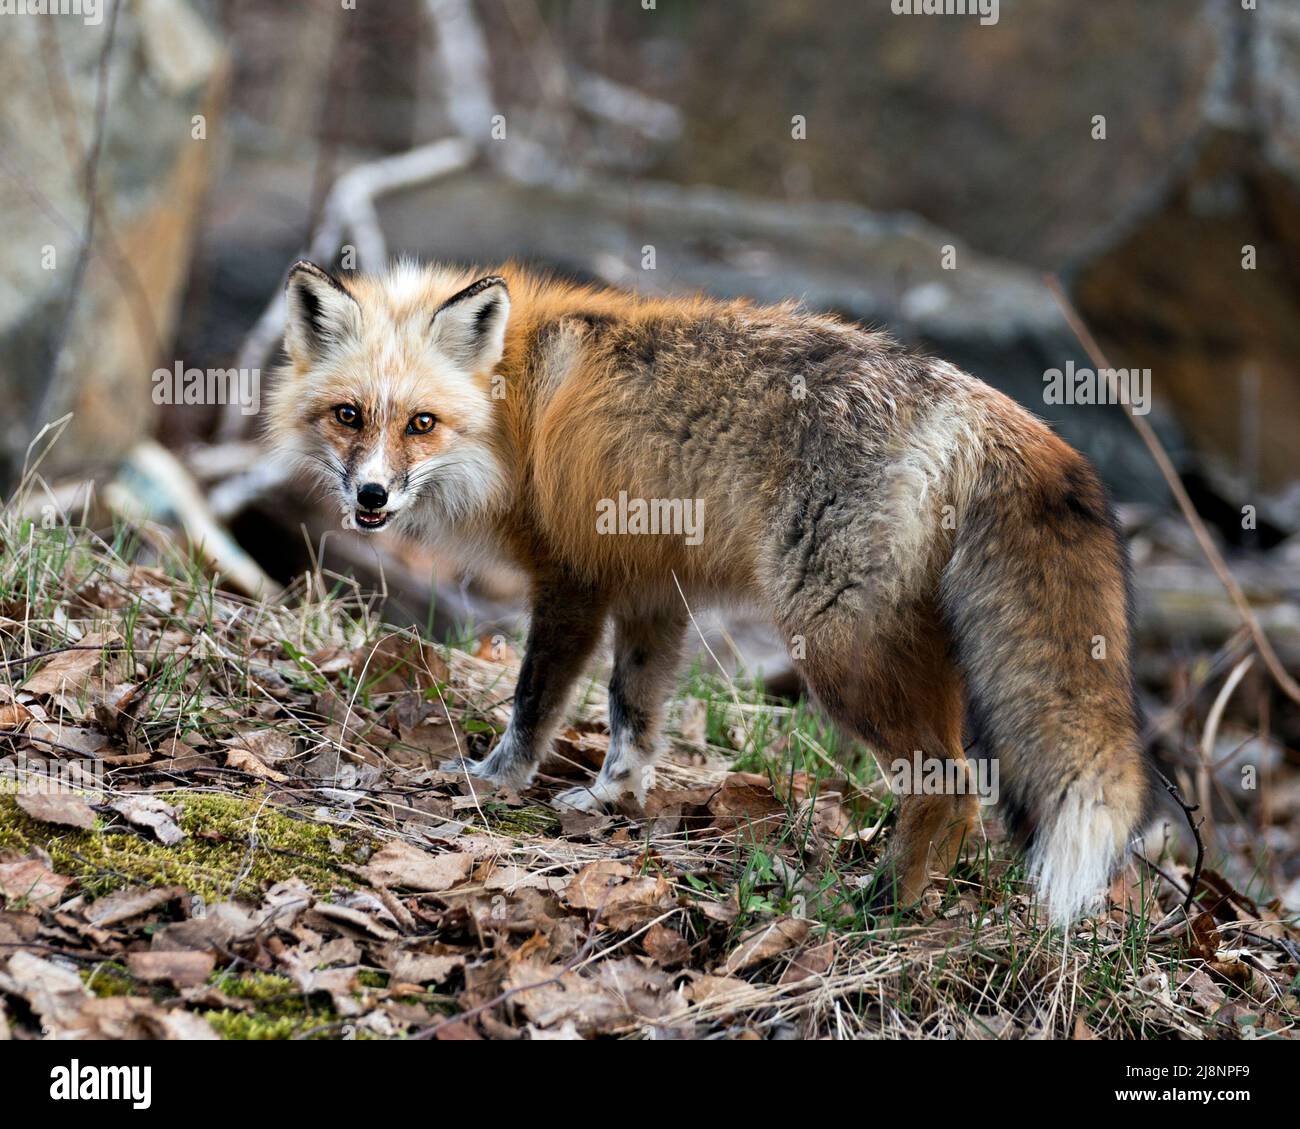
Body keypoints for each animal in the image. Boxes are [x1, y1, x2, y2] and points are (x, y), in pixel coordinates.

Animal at [266, 257, 1153, 924]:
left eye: (421, 423)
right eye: (349, 415)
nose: (370, 497)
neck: (515, 400)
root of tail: (982, 403)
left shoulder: (572, 581)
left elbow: (533, 701)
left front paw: (496, 780)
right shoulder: (650, 591)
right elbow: (634, 711)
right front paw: (613, 797)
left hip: (835, 644)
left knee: (953, 787)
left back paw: (879, 908)